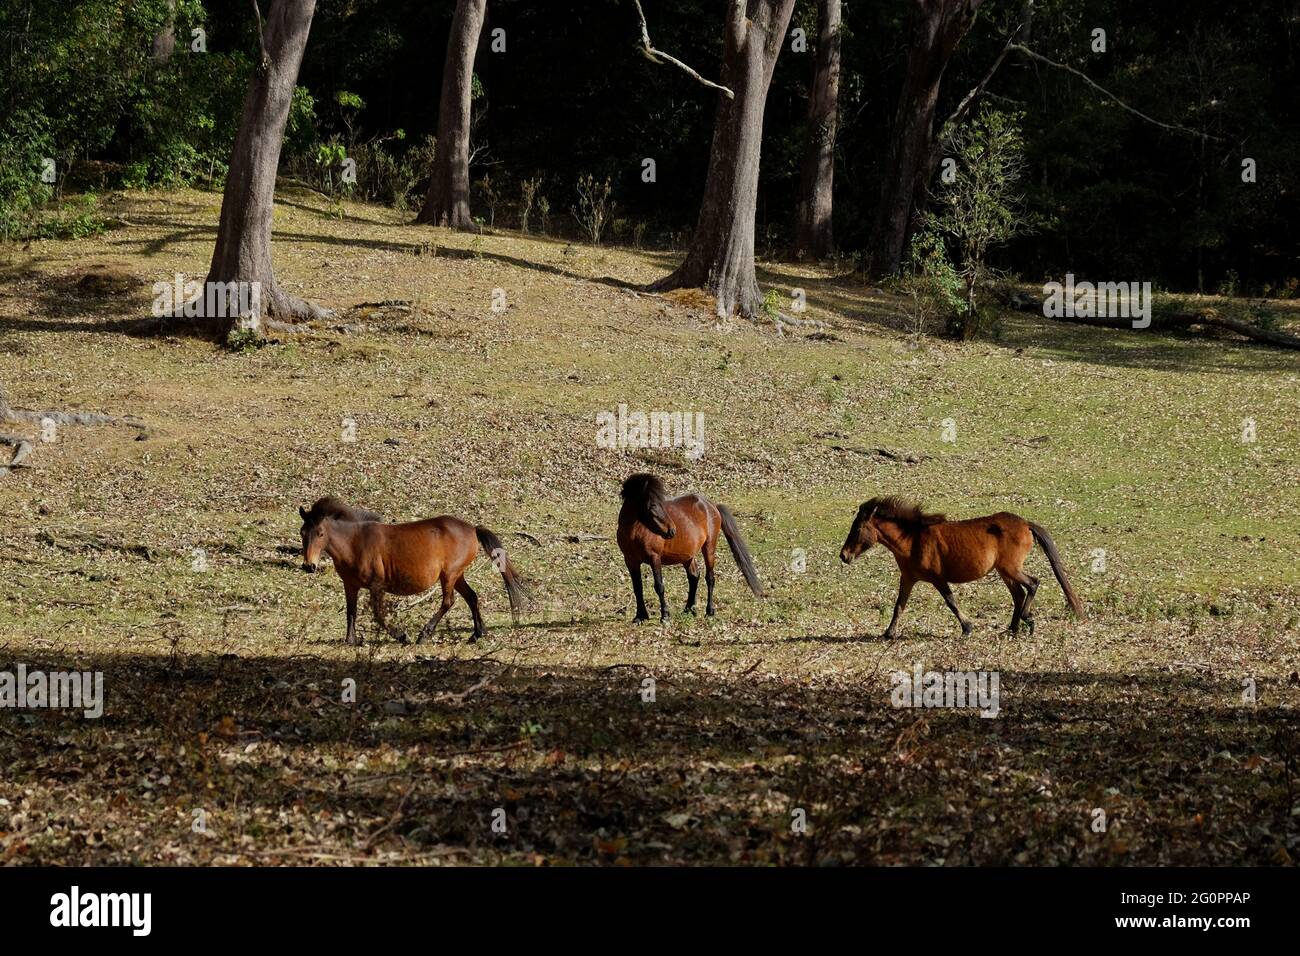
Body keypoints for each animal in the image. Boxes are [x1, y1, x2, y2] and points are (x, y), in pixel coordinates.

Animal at [301, 513, 527, 645]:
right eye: (302, 532)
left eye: (320, 533)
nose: (308, 566)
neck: (355, 543)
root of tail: (472, 529)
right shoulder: (350, 586)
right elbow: (351, 612)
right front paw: (350, 640)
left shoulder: (376, 586)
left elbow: (378, 614)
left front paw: (402, 636)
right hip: (457, 575)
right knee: (472, 597)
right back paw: (477, 634)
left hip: (449, 575)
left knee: (448, 601)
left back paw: (424, 634)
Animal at [616, 472, 763, 621]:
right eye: (652, 505)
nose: (672, 530)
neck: (635, 532)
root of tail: (712, 505)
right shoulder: (630, 561)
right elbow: (637, 587)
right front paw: (640, 616)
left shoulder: (654, 558)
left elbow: (659, 586)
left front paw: (665, 615)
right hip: (687, 556)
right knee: (694, 576)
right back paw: (689, 609)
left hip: (709, 548)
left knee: (710, 578)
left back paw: (709, 611)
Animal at [839, 496, 1084, 639]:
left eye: (858, 528)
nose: (844, 556)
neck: (913, 540)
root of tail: (1025, 524)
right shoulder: (907, 578)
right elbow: (899, 605)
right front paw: (888, 633)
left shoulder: (938, 579)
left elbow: (951, 602)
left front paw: (967, 628)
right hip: (1004, 571)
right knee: (1018, 594)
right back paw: (1012, 629)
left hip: (1011, 569)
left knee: (1033, 584)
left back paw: (1027, 620)